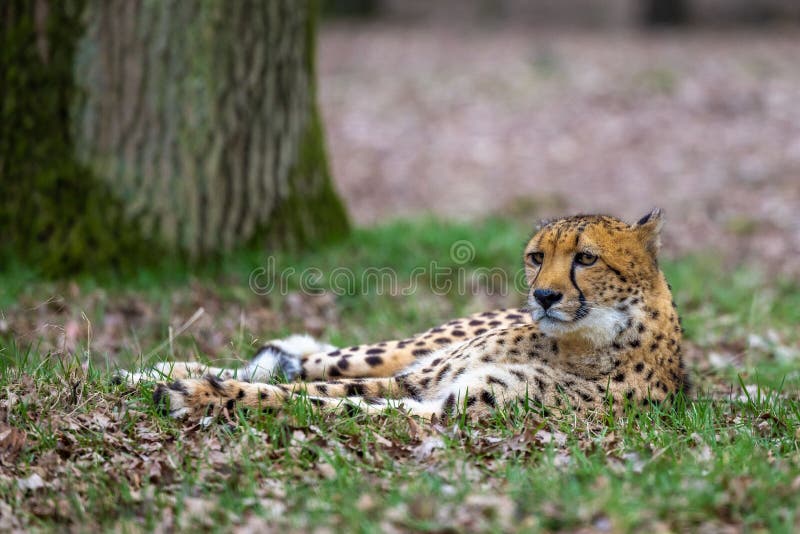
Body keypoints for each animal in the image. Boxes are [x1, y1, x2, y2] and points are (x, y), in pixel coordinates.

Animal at [119, 209, 689, 421]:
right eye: (536, 257)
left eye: (586, 258)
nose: (544, 297)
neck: (589, 339)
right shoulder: (422, 381)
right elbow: (313, 390)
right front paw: (194, 387)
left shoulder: (445, 404)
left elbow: (326, 401)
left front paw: (202, 396)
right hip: (408, 350)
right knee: (309, 361)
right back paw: (150, 370)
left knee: (295, 367)